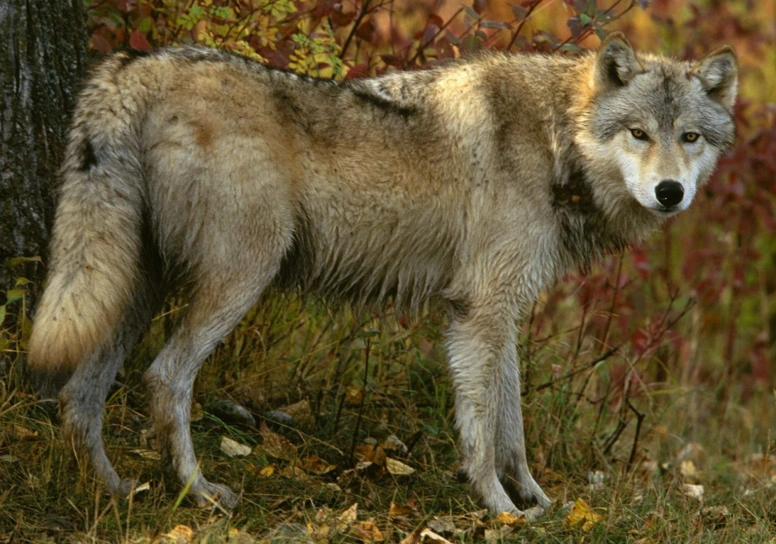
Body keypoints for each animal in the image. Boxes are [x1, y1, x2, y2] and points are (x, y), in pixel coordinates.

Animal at [27, 32, 737, 516]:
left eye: (691, 138)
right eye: (639, 133)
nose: (671, 193)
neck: (556, 139)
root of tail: (135, 65)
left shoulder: (495, 312)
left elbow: (511, 426)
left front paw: (538, 503)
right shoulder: (480, 311)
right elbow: (484, 433)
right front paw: (500, 509)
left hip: (131, 289)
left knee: (79, 395)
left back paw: (114, 490)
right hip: (238, 279)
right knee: (164, 377)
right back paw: (198, 494)